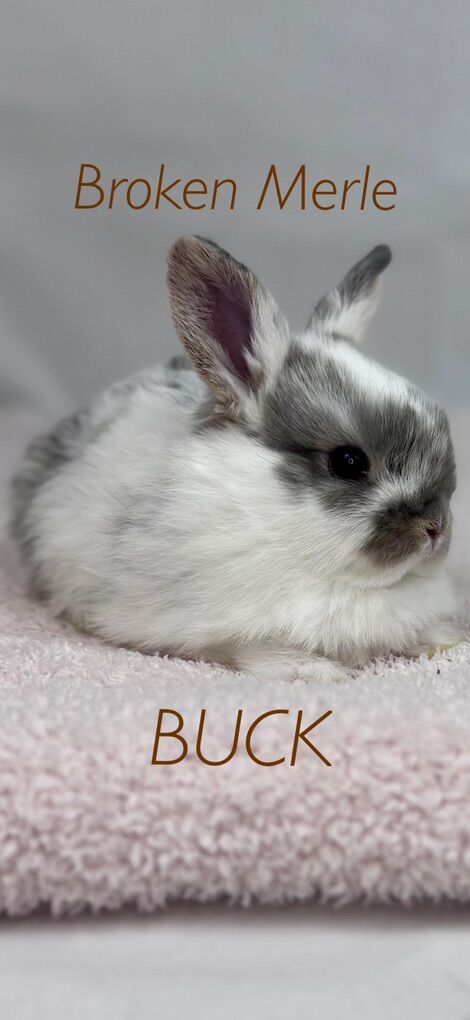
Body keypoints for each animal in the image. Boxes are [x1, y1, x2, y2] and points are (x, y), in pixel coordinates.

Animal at [10, 236, 461, 682]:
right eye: (348, 462)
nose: (434, 528)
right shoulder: (228, 624)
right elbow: (259, 648)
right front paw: (318, 672)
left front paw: (446, 640)